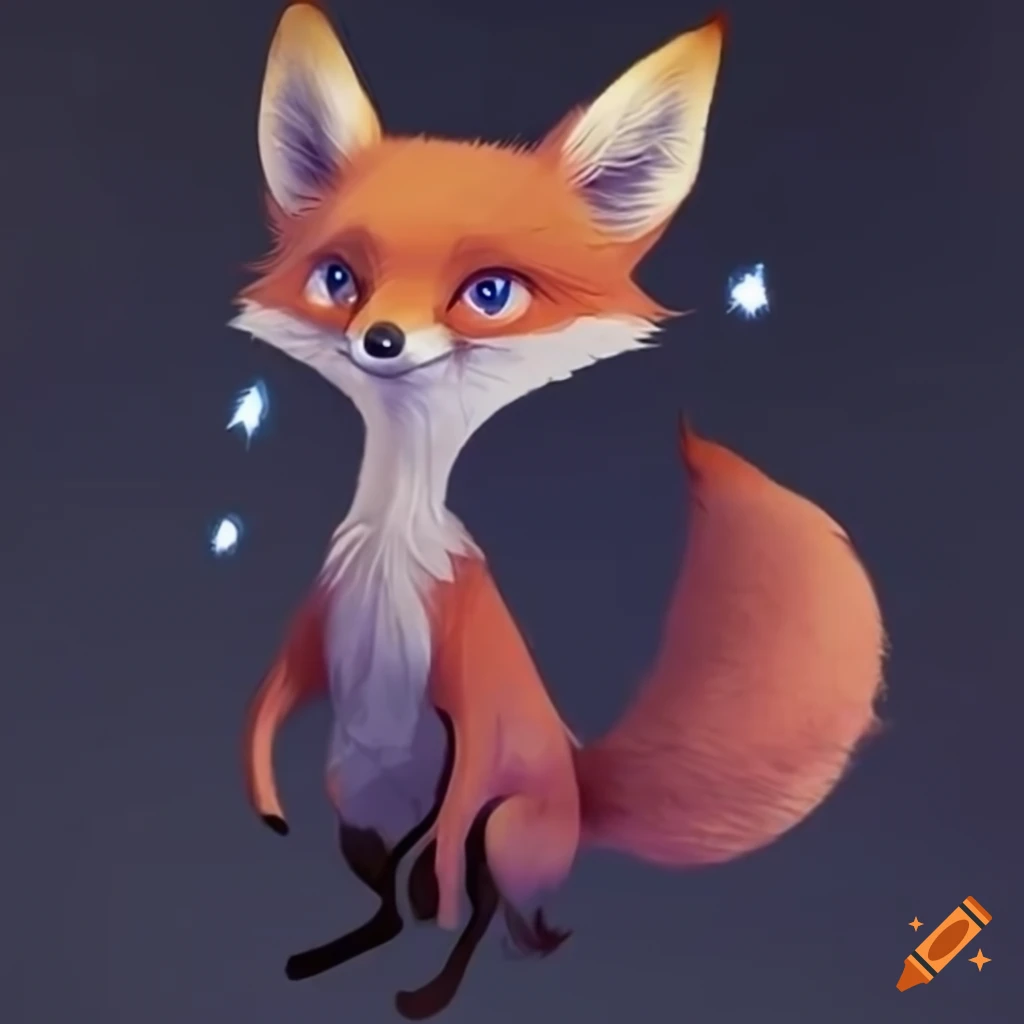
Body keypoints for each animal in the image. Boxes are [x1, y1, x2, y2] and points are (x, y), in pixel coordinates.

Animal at [231, 3, 885, 1018]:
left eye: (489, 293)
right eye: (338, 280)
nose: (381, 340)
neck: (391, 557)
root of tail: (578, 780)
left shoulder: (472, 691)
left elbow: (457, 846)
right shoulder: (317, 630)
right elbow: (269, 705)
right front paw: (263, 800)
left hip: (502, 828)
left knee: (483, 911)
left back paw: (444, 977)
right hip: (360, 808)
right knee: (394, 902)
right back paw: (339, 955)